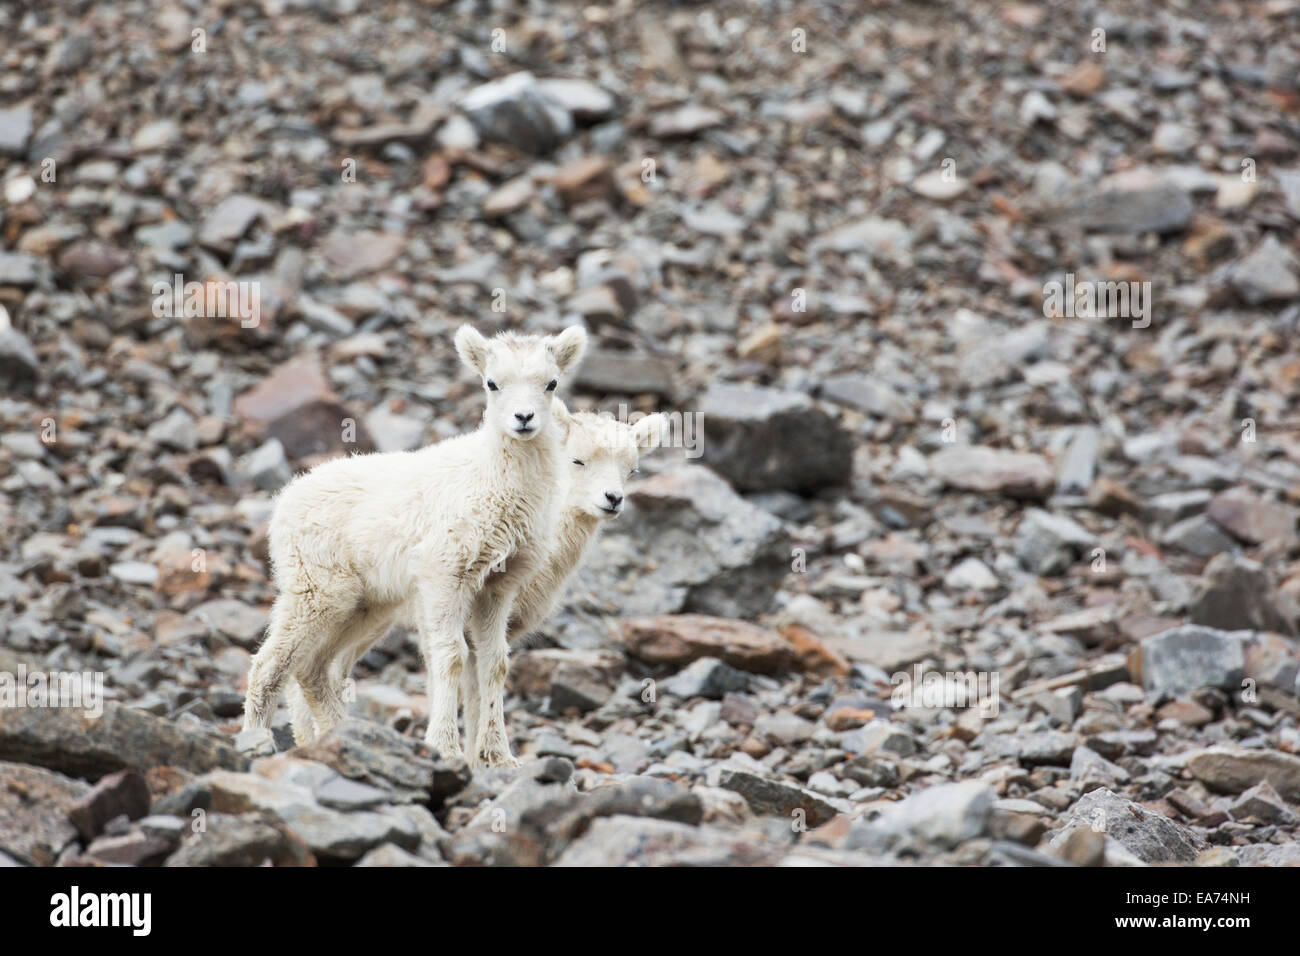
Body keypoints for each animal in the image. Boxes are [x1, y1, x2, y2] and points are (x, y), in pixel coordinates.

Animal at [240, 323, 587, 767]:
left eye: (551, 383)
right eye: (492, 383)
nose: (523, 419)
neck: (494, 482)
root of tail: (285, 500)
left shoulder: (497, 588)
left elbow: (494, 664)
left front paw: (499, 758)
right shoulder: (445, 577)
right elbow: (451, 657)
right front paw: (446, 748)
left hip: (364, 606)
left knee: (314, 670)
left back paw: (342, 734)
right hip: (316, 591)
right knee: (269, 665)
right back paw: (256, 742)